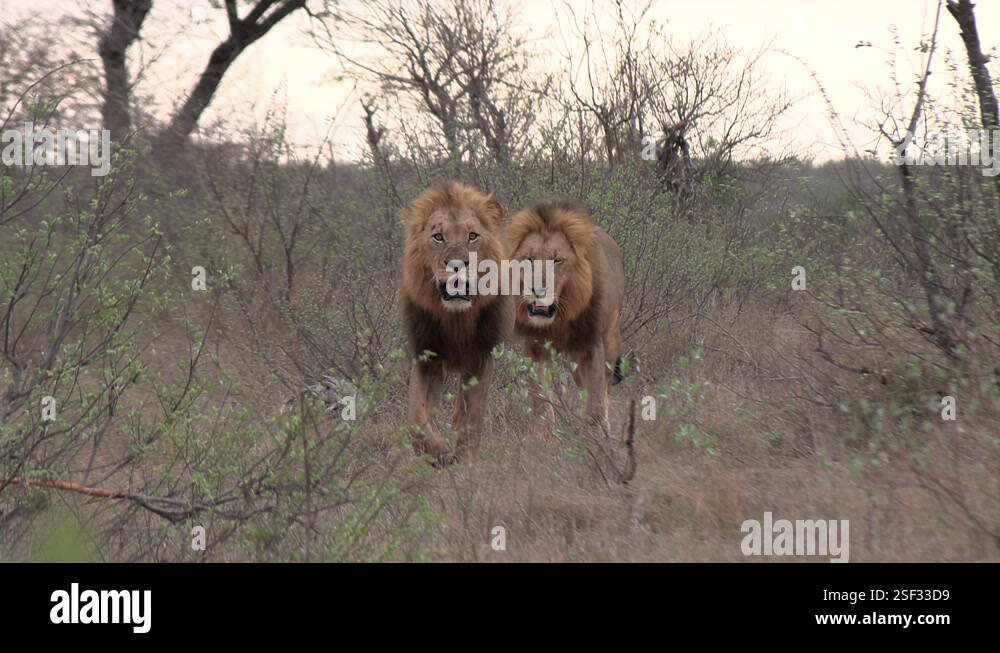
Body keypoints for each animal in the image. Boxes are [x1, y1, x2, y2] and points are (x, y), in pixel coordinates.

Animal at [400, 181, 513, 464]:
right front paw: (439, 452)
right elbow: (416, 419)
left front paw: (464, 461)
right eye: (438, 237)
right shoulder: (425, 356)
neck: (455, 318)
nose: (457, 264)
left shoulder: (481, 356)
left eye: (472, 236)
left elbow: (470, 417)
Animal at [506, 196, 625, 437]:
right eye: (528, 259)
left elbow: (596, 392)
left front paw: (595, 433)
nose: (538, 290)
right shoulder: (535, 347)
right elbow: (540, 395)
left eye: (557, 260)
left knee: (606, 384)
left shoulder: (591, 344)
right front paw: (543, 434)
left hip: (609, 338)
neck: (559, 318)